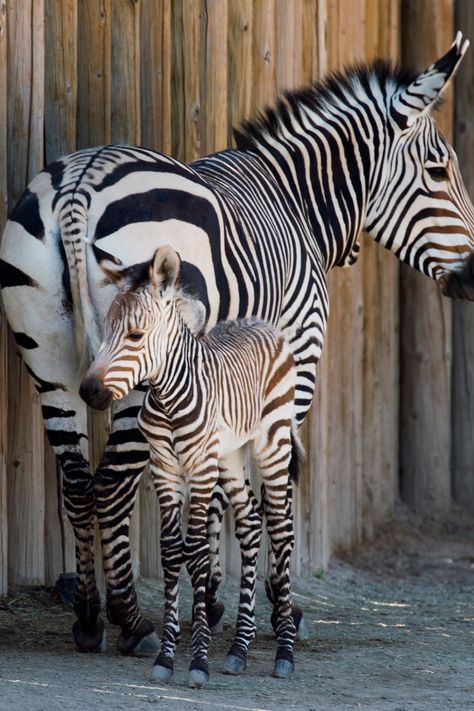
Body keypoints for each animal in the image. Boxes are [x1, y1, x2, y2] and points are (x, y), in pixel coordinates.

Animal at [80, 244, 302, 685]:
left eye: (135, 336)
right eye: (105, 331)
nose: (88, 392)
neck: (170, 398)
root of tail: (262, 324)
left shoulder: (200, 468)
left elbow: (198, 551)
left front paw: (198, 659)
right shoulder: (165, 469)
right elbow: (171, 551)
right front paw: (166, 657)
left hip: (272, 442)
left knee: (281, 527)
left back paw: (284, 652)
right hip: (231, 454)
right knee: (250, 522)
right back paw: (239, 649)